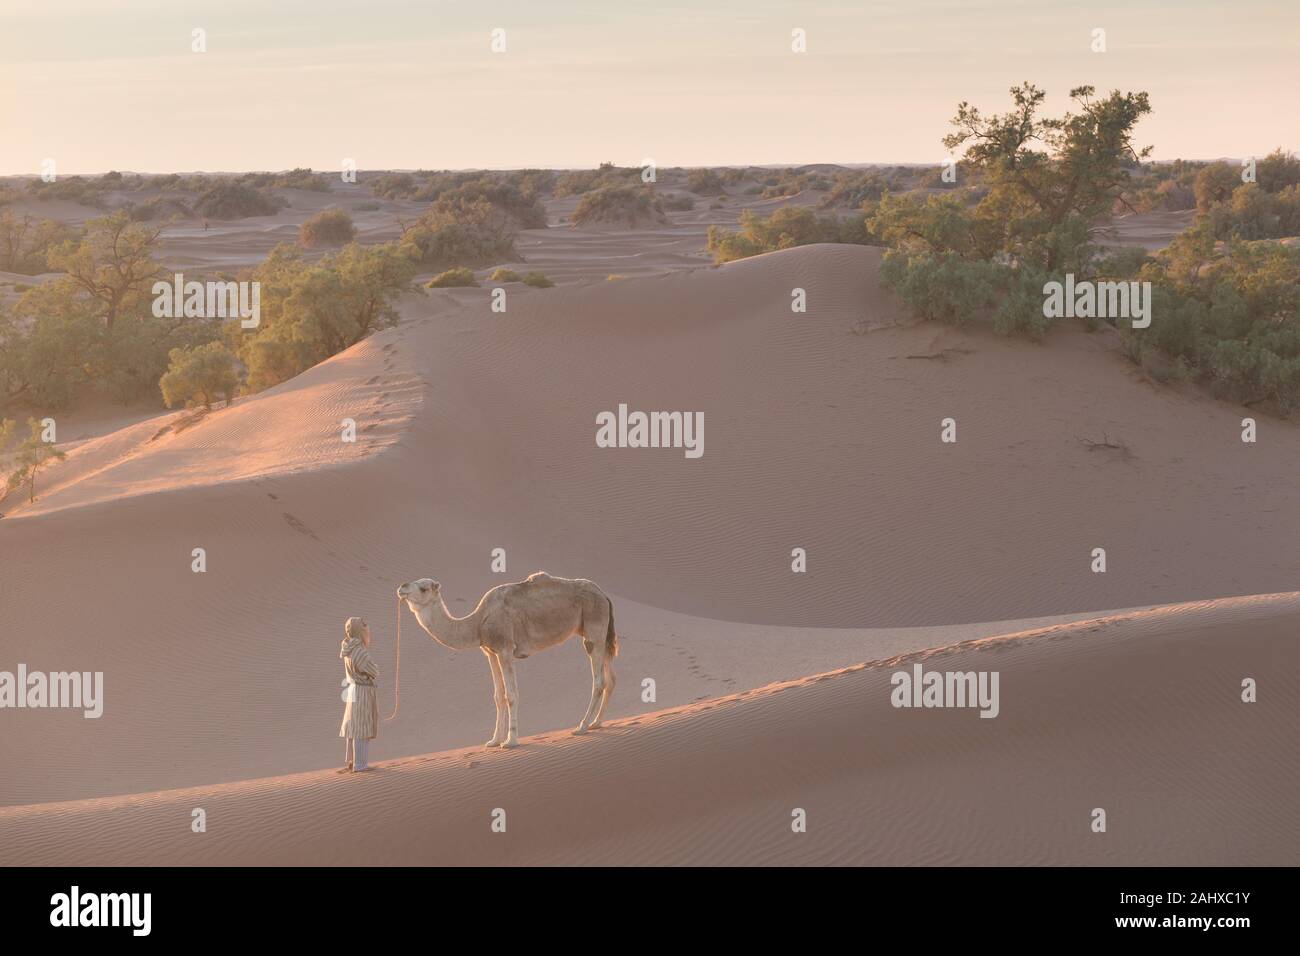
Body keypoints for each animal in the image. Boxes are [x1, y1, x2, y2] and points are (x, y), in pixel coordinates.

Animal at [396, 572, 618, 748]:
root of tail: (604, 595)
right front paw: (494, 741)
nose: (402, 586)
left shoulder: (505, 649)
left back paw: (582, 726)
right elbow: (498, 696)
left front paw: (510, 741)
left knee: (598, 680)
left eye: (423, 588)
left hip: (594, 626)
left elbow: (511, 694)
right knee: (610, 678)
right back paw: (596, 723)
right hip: (600, 632)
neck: (477, 623)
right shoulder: (490, 653)